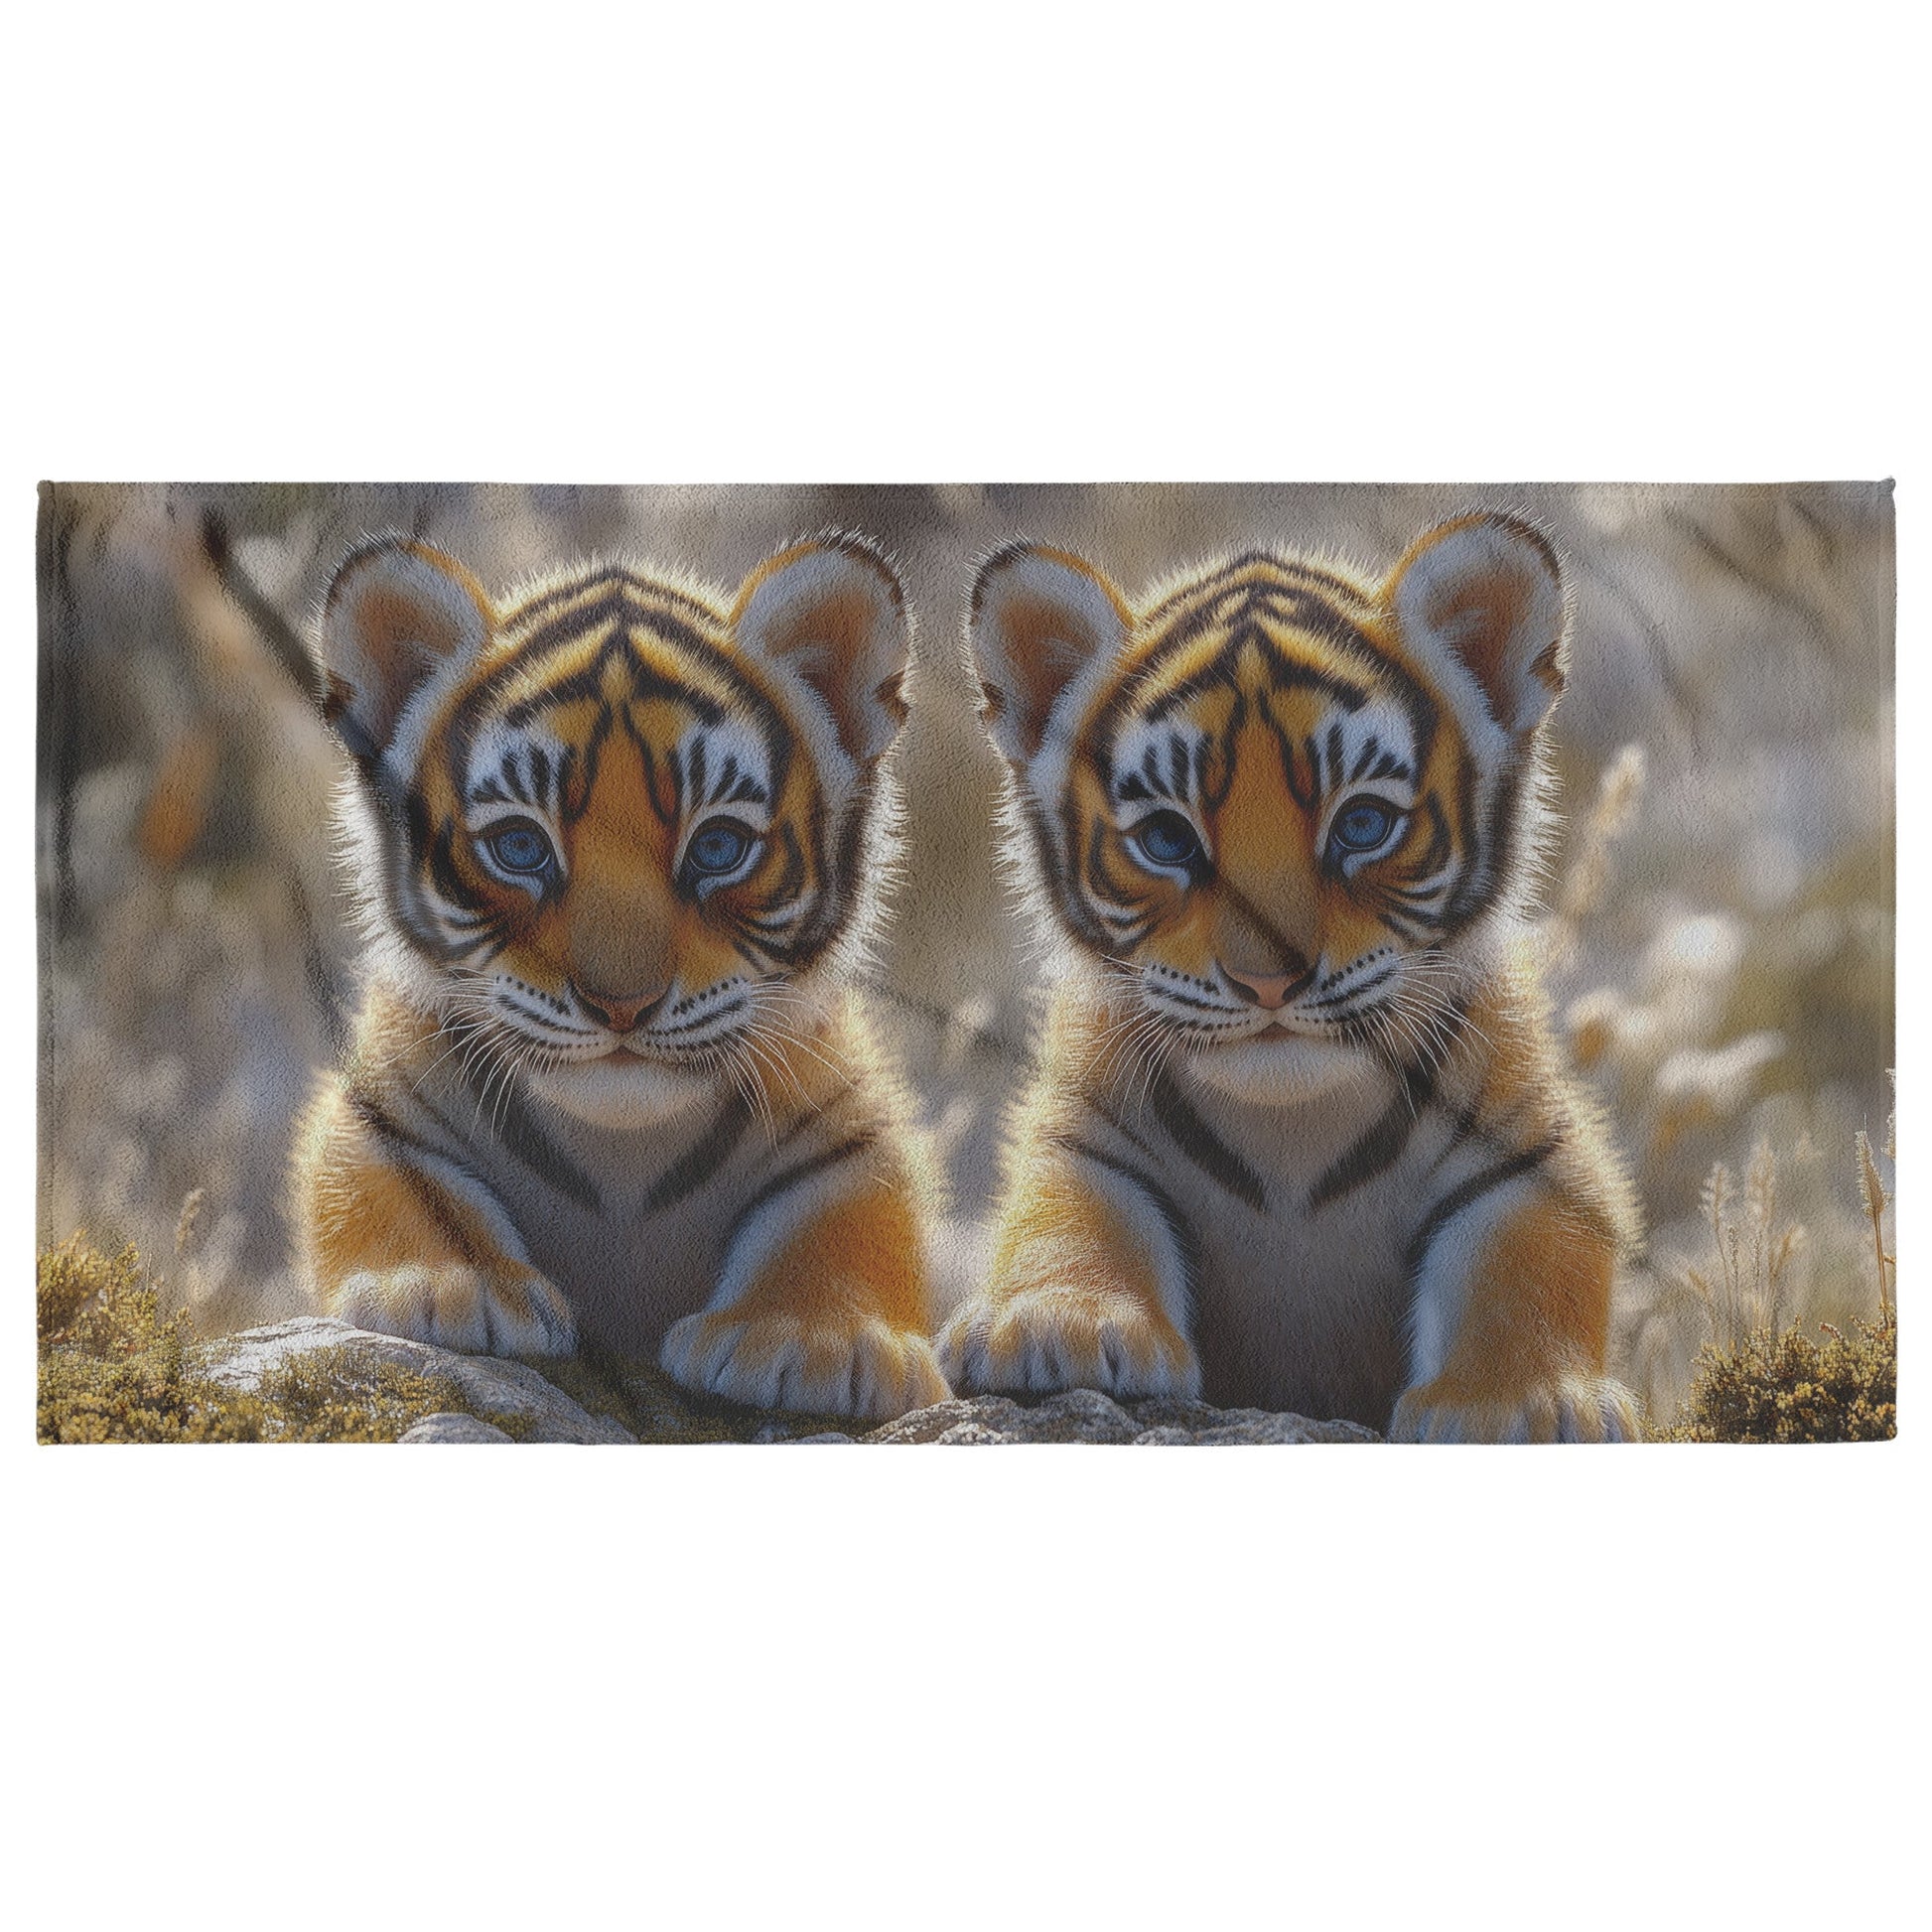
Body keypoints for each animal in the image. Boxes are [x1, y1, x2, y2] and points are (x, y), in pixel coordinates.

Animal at [290, 530, 948, 1421]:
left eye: (717, 847)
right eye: (520, 847)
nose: (621, 1005)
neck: (621, 1159)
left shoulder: (849, 1117)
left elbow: (847, 1213)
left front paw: (814, 1339)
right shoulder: (379, 1104)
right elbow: (394, 1187)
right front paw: (444, 1286)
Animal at [937, 512, 1643, 1441]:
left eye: (1364, 825)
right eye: (1168, 839)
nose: (1269, 982)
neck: (1292, 1136)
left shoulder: (1530, 1147)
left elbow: (1529, 1257)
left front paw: (1519, 1400)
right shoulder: (1086, 1125)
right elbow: (1069, 1212)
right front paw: (1060, 1324)